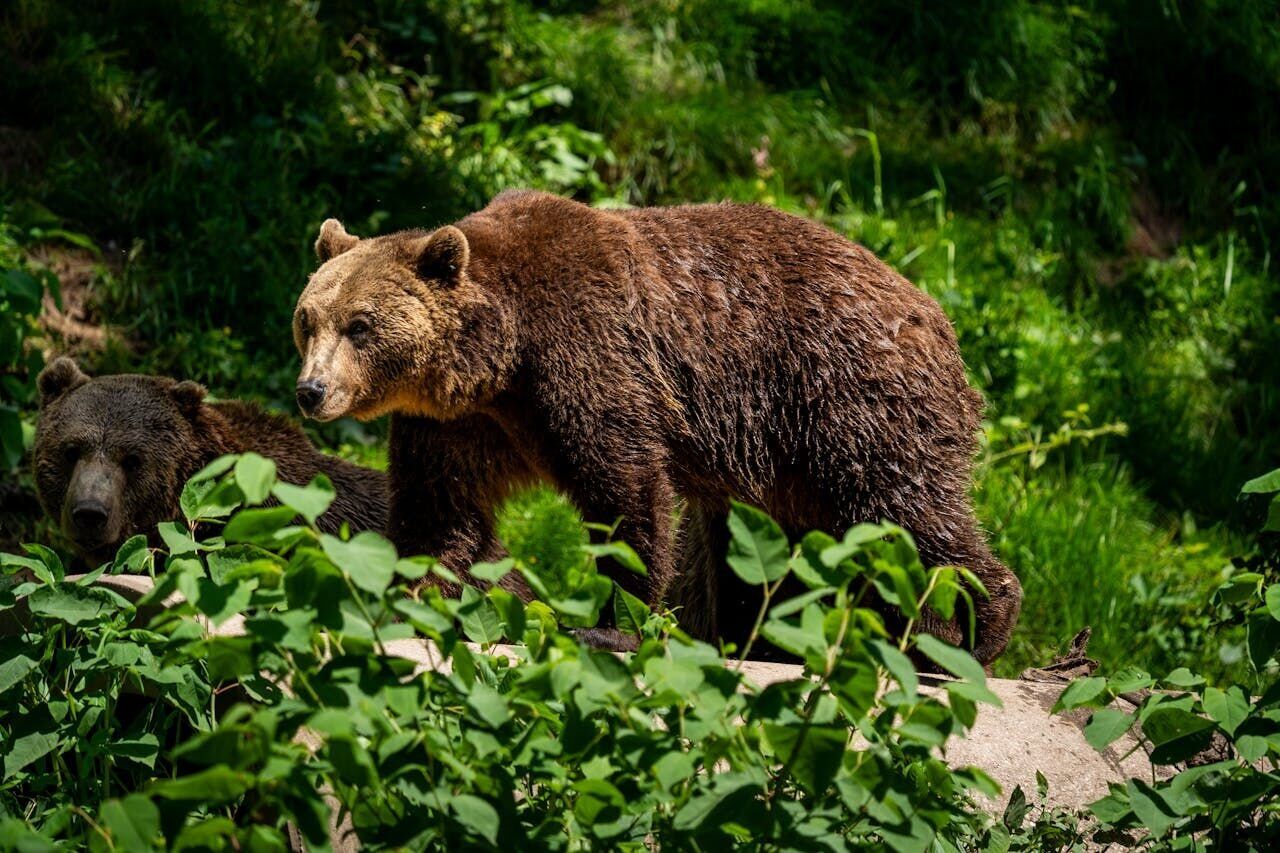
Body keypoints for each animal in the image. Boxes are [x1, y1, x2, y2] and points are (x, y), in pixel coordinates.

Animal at [292, 189, 1022, 663]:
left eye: (361, 325)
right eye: (309, 318)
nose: (310, 390)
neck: (500, 359)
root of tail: (936, 313)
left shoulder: (588, 359)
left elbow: (626, 491)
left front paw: (613, 624)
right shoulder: (461, 424)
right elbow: (439, 509)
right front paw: (408, 599)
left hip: (845, 397)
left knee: (901, 511)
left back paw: (972, 628)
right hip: (781, 460)